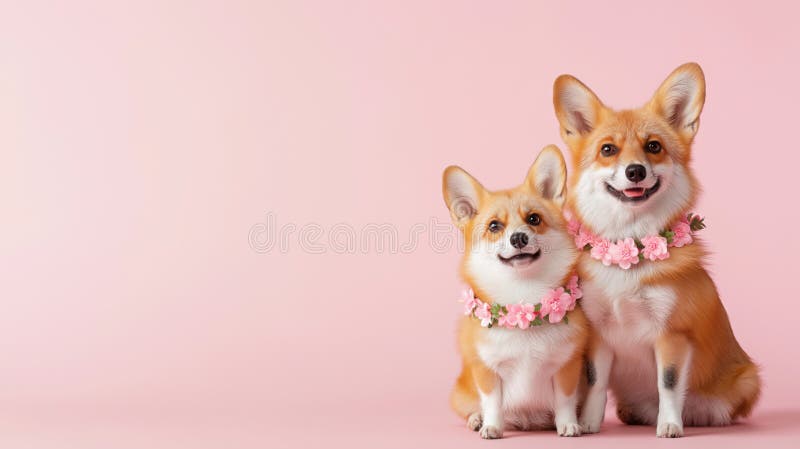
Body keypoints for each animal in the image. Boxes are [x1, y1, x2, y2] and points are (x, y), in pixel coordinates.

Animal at [443, 146, 592, 438]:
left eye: (534, 219)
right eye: (494, 226)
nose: (518, 238)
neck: (522, 296)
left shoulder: (567, 367)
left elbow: (565, 401)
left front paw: (568, 424)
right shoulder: (487, 370)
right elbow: (492, 402)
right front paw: (491, 426)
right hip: (460, 393)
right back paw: (476, 419)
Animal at [552, 63, 761, 437]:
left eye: (653, 146)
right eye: (608, 150)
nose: (635, 171)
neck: (629, 256)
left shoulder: (672, 335)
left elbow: (670, 385)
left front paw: (671, 425)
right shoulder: (599, 333)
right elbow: (595, 383)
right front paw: (588, 423)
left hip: (747, 381)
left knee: (716, 408)